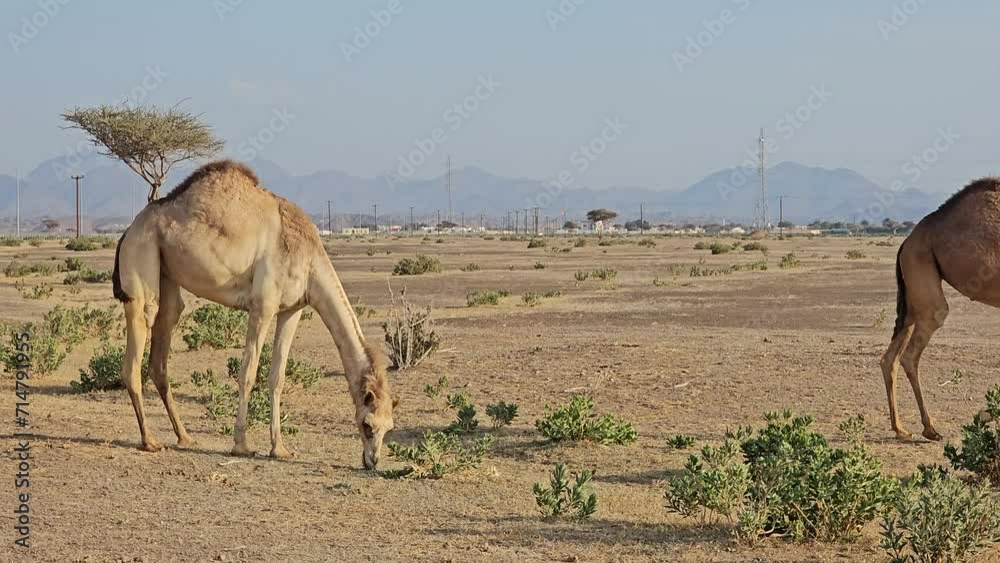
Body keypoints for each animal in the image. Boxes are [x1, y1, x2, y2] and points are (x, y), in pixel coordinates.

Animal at [112, 160, 395, 469]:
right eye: (367, 424)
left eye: (389, 428)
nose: (373, 461)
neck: (308, 260)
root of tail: (127, 231)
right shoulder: (263, 305)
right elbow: (248, 373)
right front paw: (241, 445)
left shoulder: (292, 310)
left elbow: (277, 378)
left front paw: (280, 449)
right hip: (141, 257)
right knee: (138, 338)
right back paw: (149, 441)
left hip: (167, 273)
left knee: (164, 339)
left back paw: (184, 437)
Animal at [881, 176, 1000, 441]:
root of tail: (906, 242)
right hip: (921, 267)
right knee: (911, 353)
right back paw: (930, 429)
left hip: (911, 300)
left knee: (890, 358)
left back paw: (900, 428)